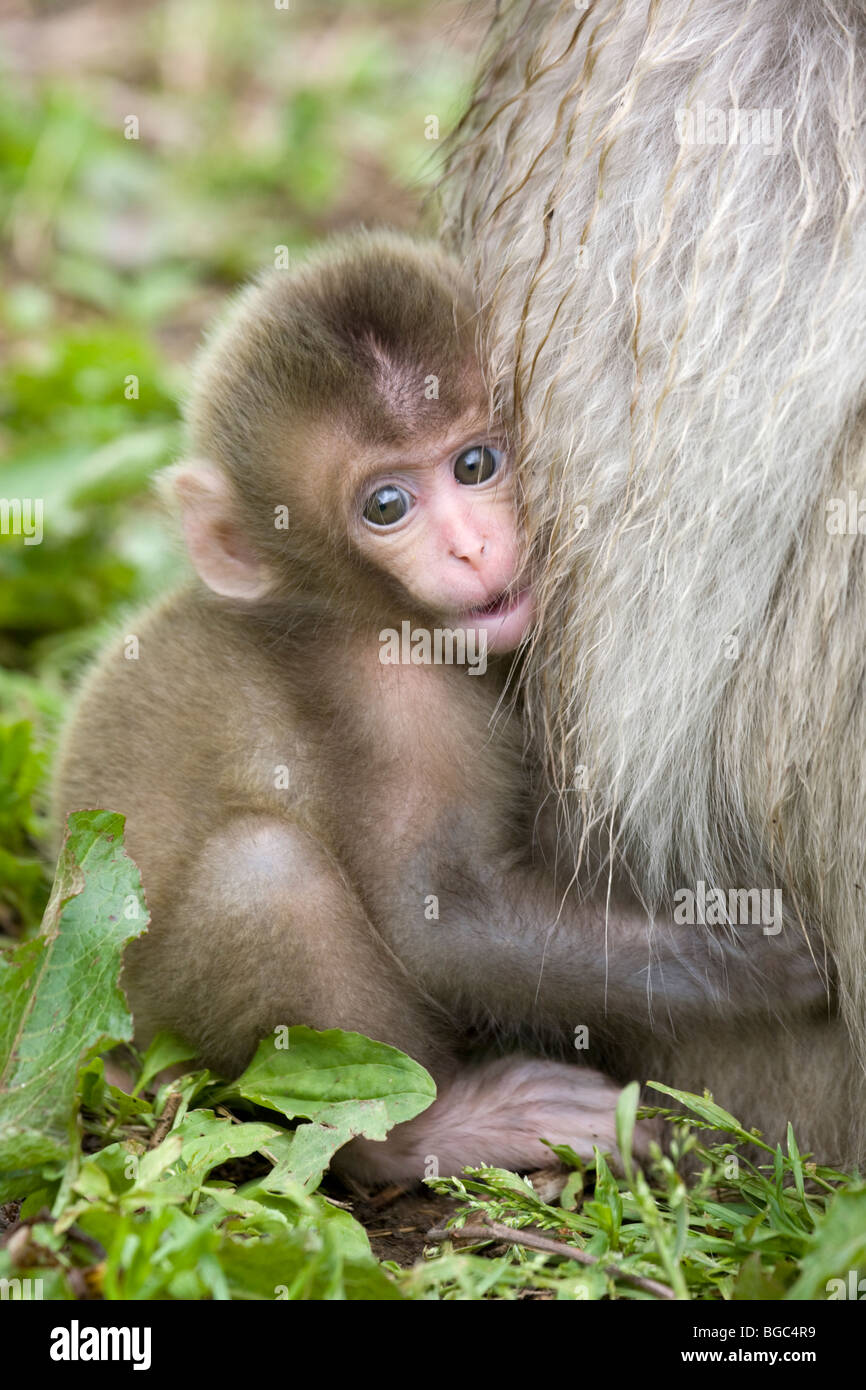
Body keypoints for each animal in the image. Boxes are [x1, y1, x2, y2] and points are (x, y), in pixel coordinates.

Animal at [54, 229, 828, 1184]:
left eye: (475, 465)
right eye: (386, 506)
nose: (471, 547)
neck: (346, 610)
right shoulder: (397, 699)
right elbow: (433, 918)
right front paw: (738, 957)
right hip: (176, 1014)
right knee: (264, 872)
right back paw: (425, 1135)